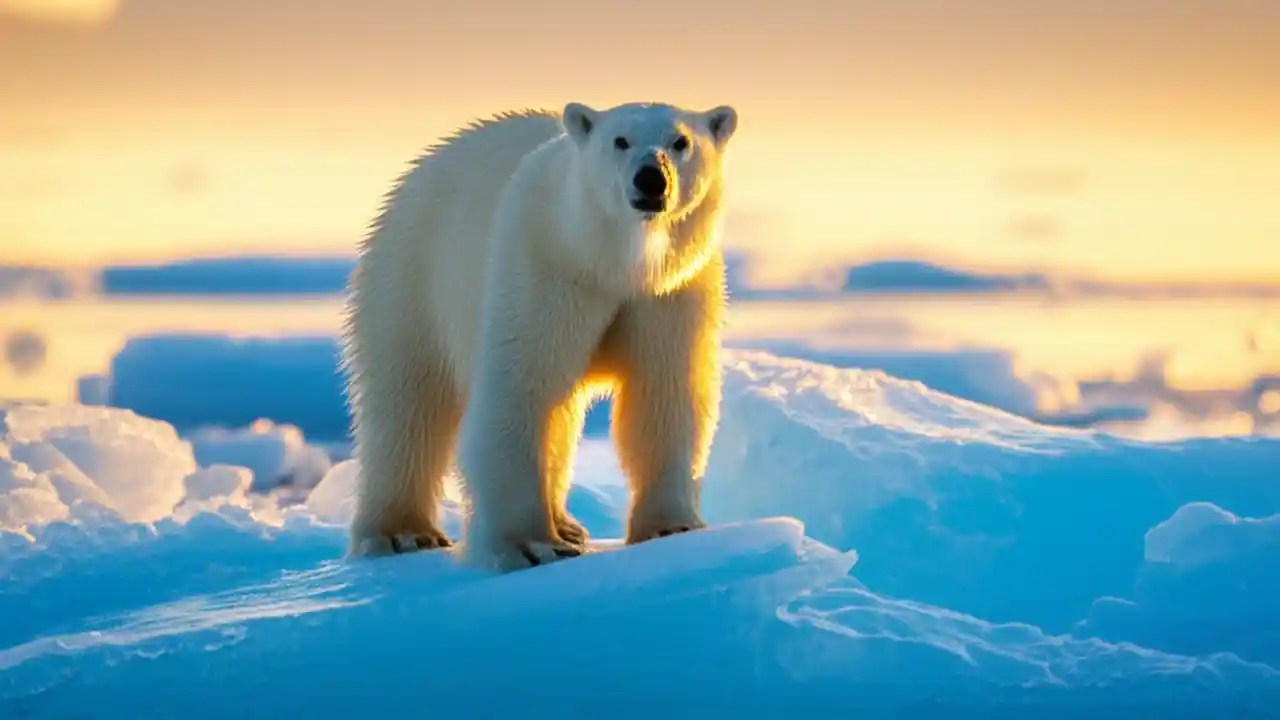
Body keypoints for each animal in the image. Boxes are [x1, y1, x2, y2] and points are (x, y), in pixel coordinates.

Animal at [342, 101, 738, 571]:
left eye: (681, 142)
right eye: (620, 140)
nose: (651, 178)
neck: (610, 263)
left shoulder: (674, 291)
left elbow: (665, 393)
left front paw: (671, 528)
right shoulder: (544, 267)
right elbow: (522, 387)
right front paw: (531, 545)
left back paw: (568, 524)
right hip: (410, 281)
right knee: (407, 404)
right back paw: (402, 533)